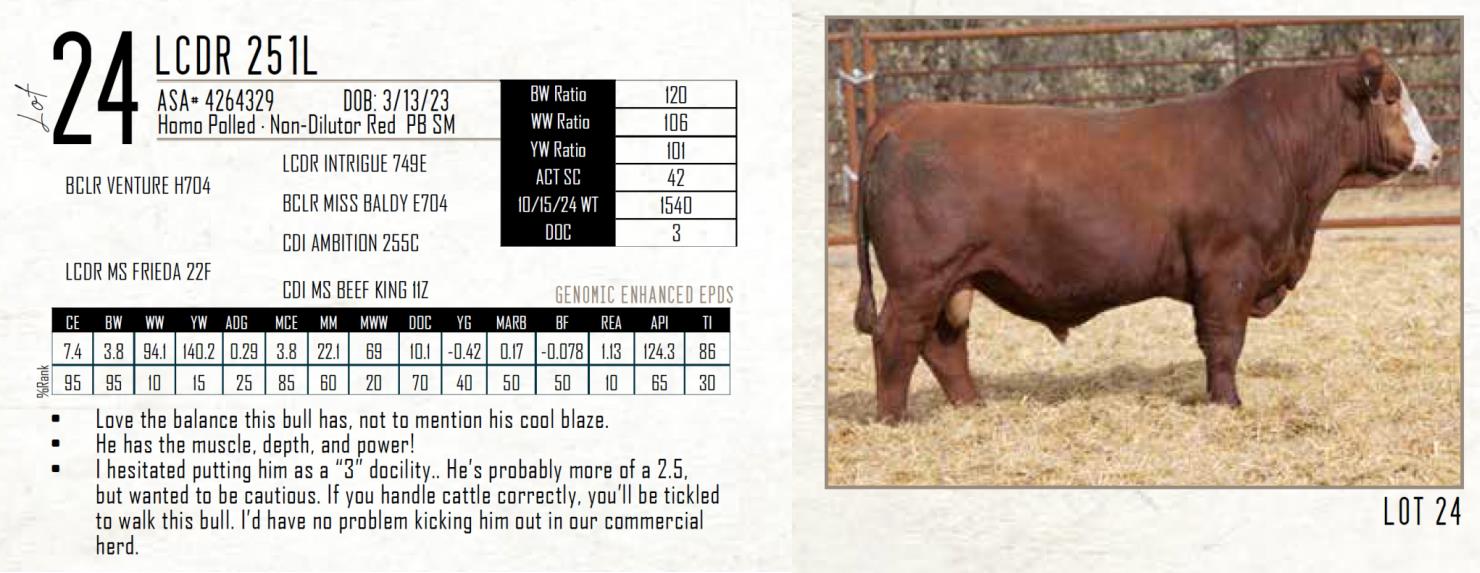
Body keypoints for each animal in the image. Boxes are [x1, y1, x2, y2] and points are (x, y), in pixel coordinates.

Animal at [853, 48, 1442, 423]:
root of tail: (905, 115)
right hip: (919, 277)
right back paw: (893, 419)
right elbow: (1223, 340)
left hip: (955, 278)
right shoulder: (1227, 266)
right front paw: (1227, 405)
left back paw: (972, 408)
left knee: (943, 345)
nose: (1435, 153)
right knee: (895, 338)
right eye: (1392, 98)